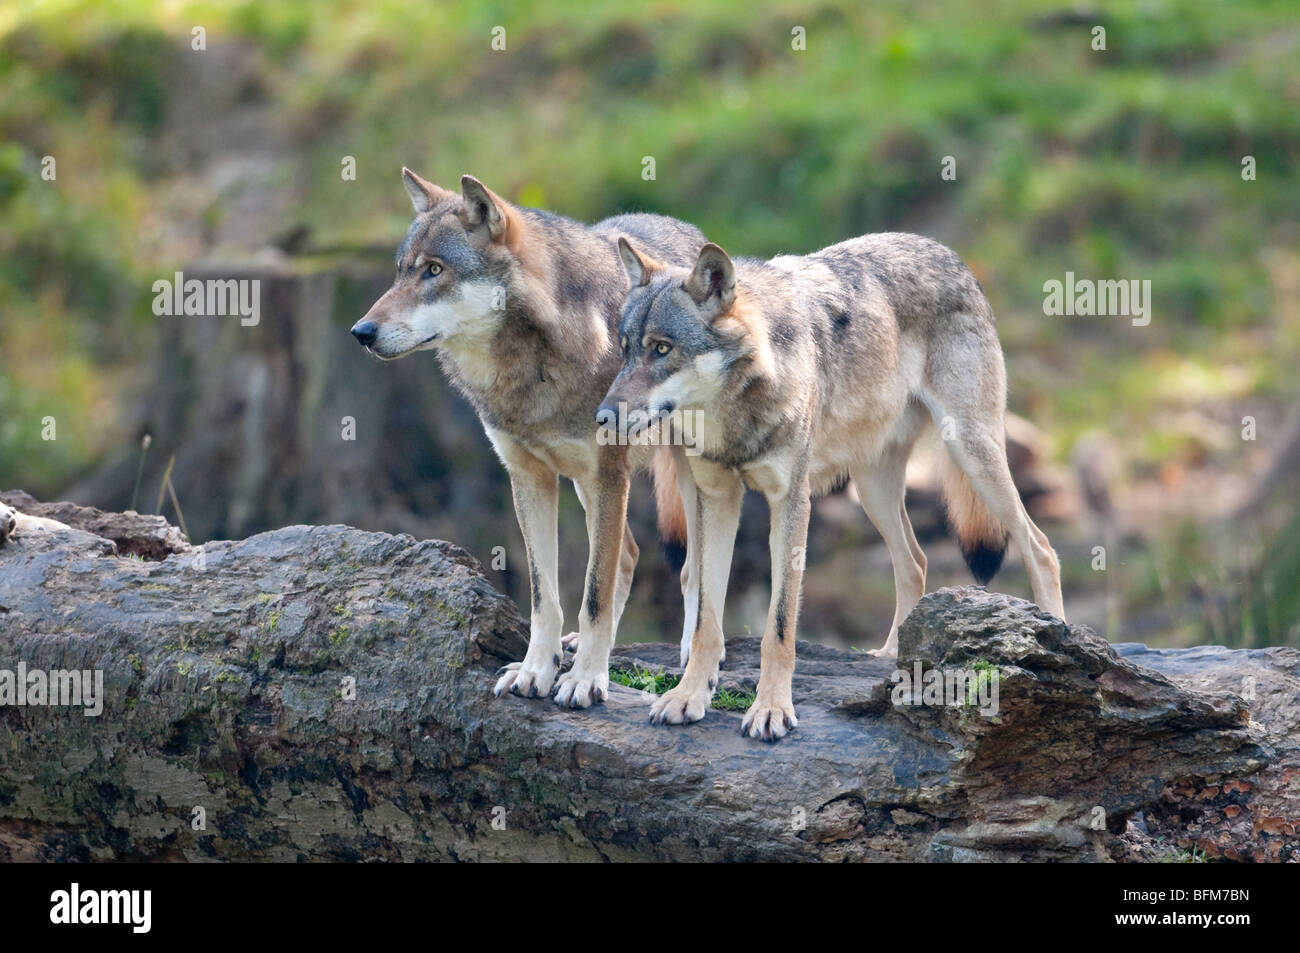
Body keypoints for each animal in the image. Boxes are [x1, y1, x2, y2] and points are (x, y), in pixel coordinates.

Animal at [351, 169, 703, 708]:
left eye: (433, 271)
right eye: (400, 273)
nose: (361, 332)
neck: (527, 372)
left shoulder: (608, 476)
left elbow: (594, 593)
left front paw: (585, 679)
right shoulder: (529, 477)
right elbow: (545, 594)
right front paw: (539, 669)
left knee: (691, 568)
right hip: (587, 487)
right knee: (628, 555)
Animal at [599, 234, 1065, 741]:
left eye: (662, 349)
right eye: (625, 349)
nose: (602, 416)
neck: (738, 409)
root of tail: (947, 252)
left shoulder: (792, 504)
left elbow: (779, 626)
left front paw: (771, 709)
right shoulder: (716, 500)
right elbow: (706, 618)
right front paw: (689, 697)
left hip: (972, 454)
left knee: (1040, 546)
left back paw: (1058, 642)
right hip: (874, 490)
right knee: (916, 561)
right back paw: (891, 656)